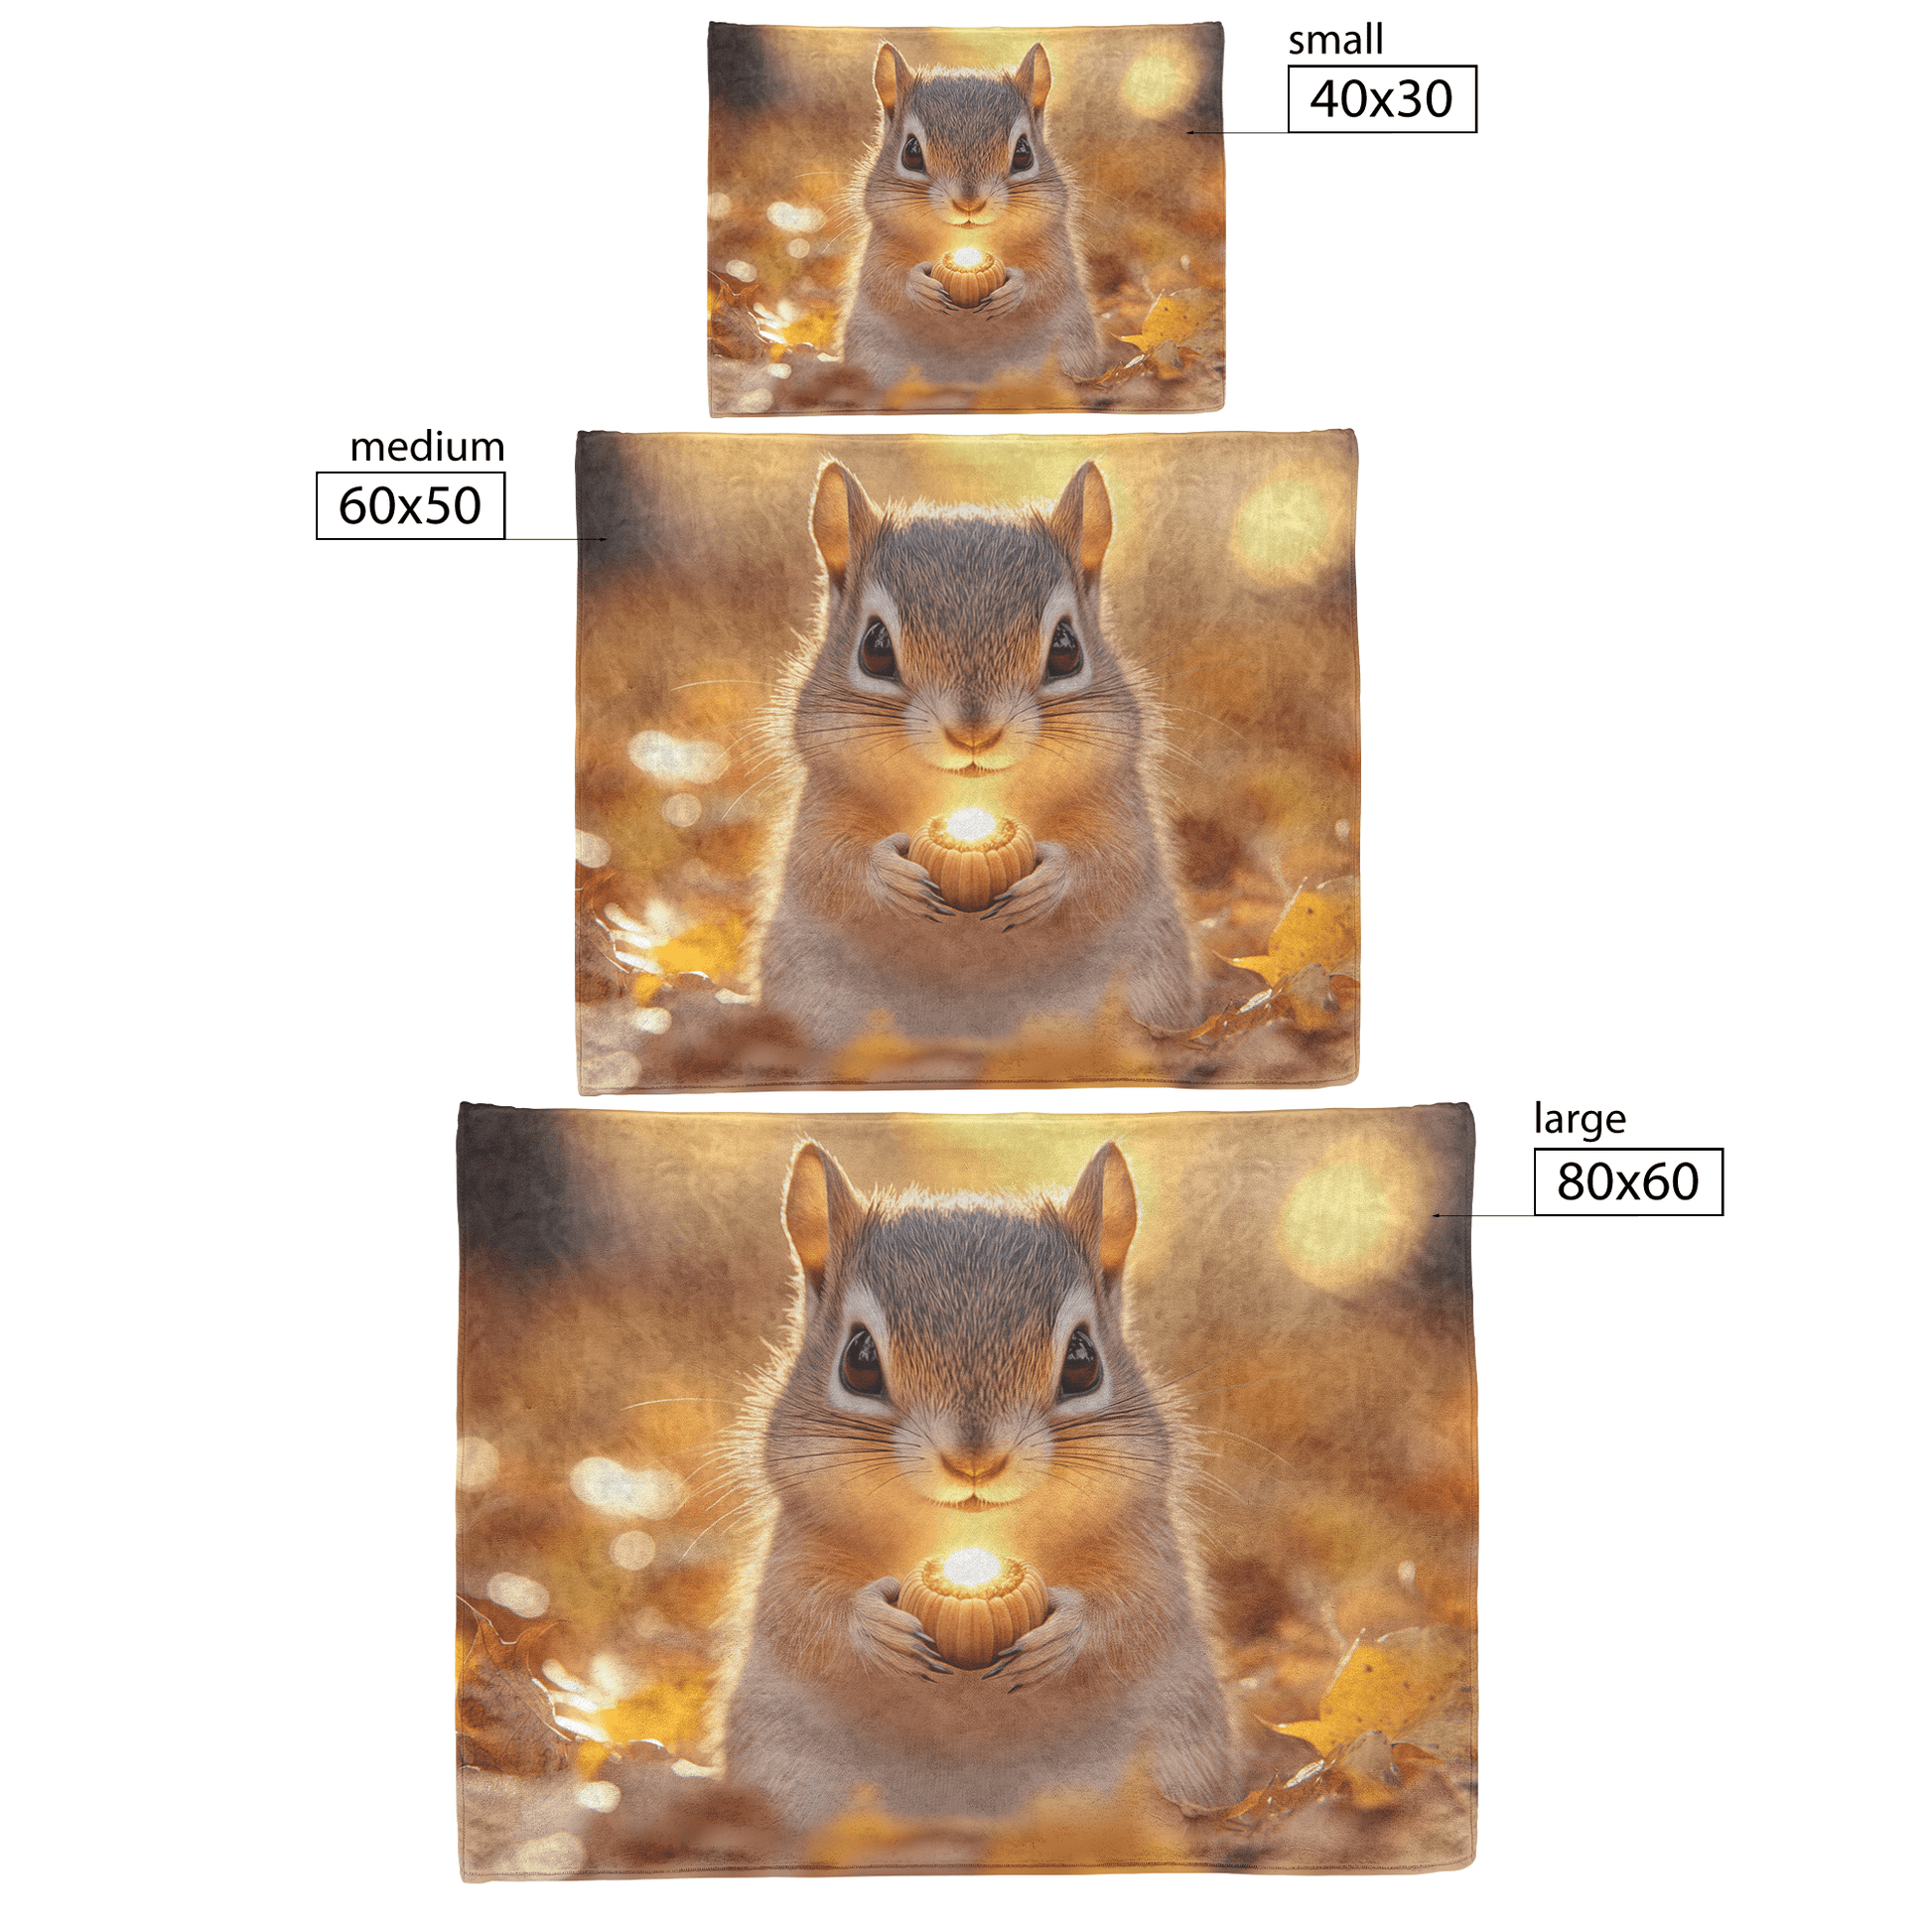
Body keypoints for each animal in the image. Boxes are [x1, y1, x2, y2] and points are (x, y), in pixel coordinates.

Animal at [718, 1138, 1240, 1831]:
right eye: (859, 1360)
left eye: (1083, 1361)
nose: (975, 1461)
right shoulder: (798, 1540)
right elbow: (801, 1613)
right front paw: (870, 1626)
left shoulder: (1144, 1542)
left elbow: (1137, 1613)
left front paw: (1069, 1631)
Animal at [750, 457, 1201, 1049]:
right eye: (875, 648)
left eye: (1067, 649)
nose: (974, 733)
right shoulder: (823, 803)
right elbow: (826, 867)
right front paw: (885, 875)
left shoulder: (1117, 804)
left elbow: (1113, 867)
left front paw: (1054, 879)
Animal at [836, 42, 1108, 389]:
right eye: (911, 152)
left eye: (1024, 153)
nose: (969, 203)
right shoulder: (881, 243)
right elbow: (884, 279)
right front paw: (917, 285)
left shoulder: (1054, 244)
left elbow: (1049, 279)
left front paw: (1016, 288)